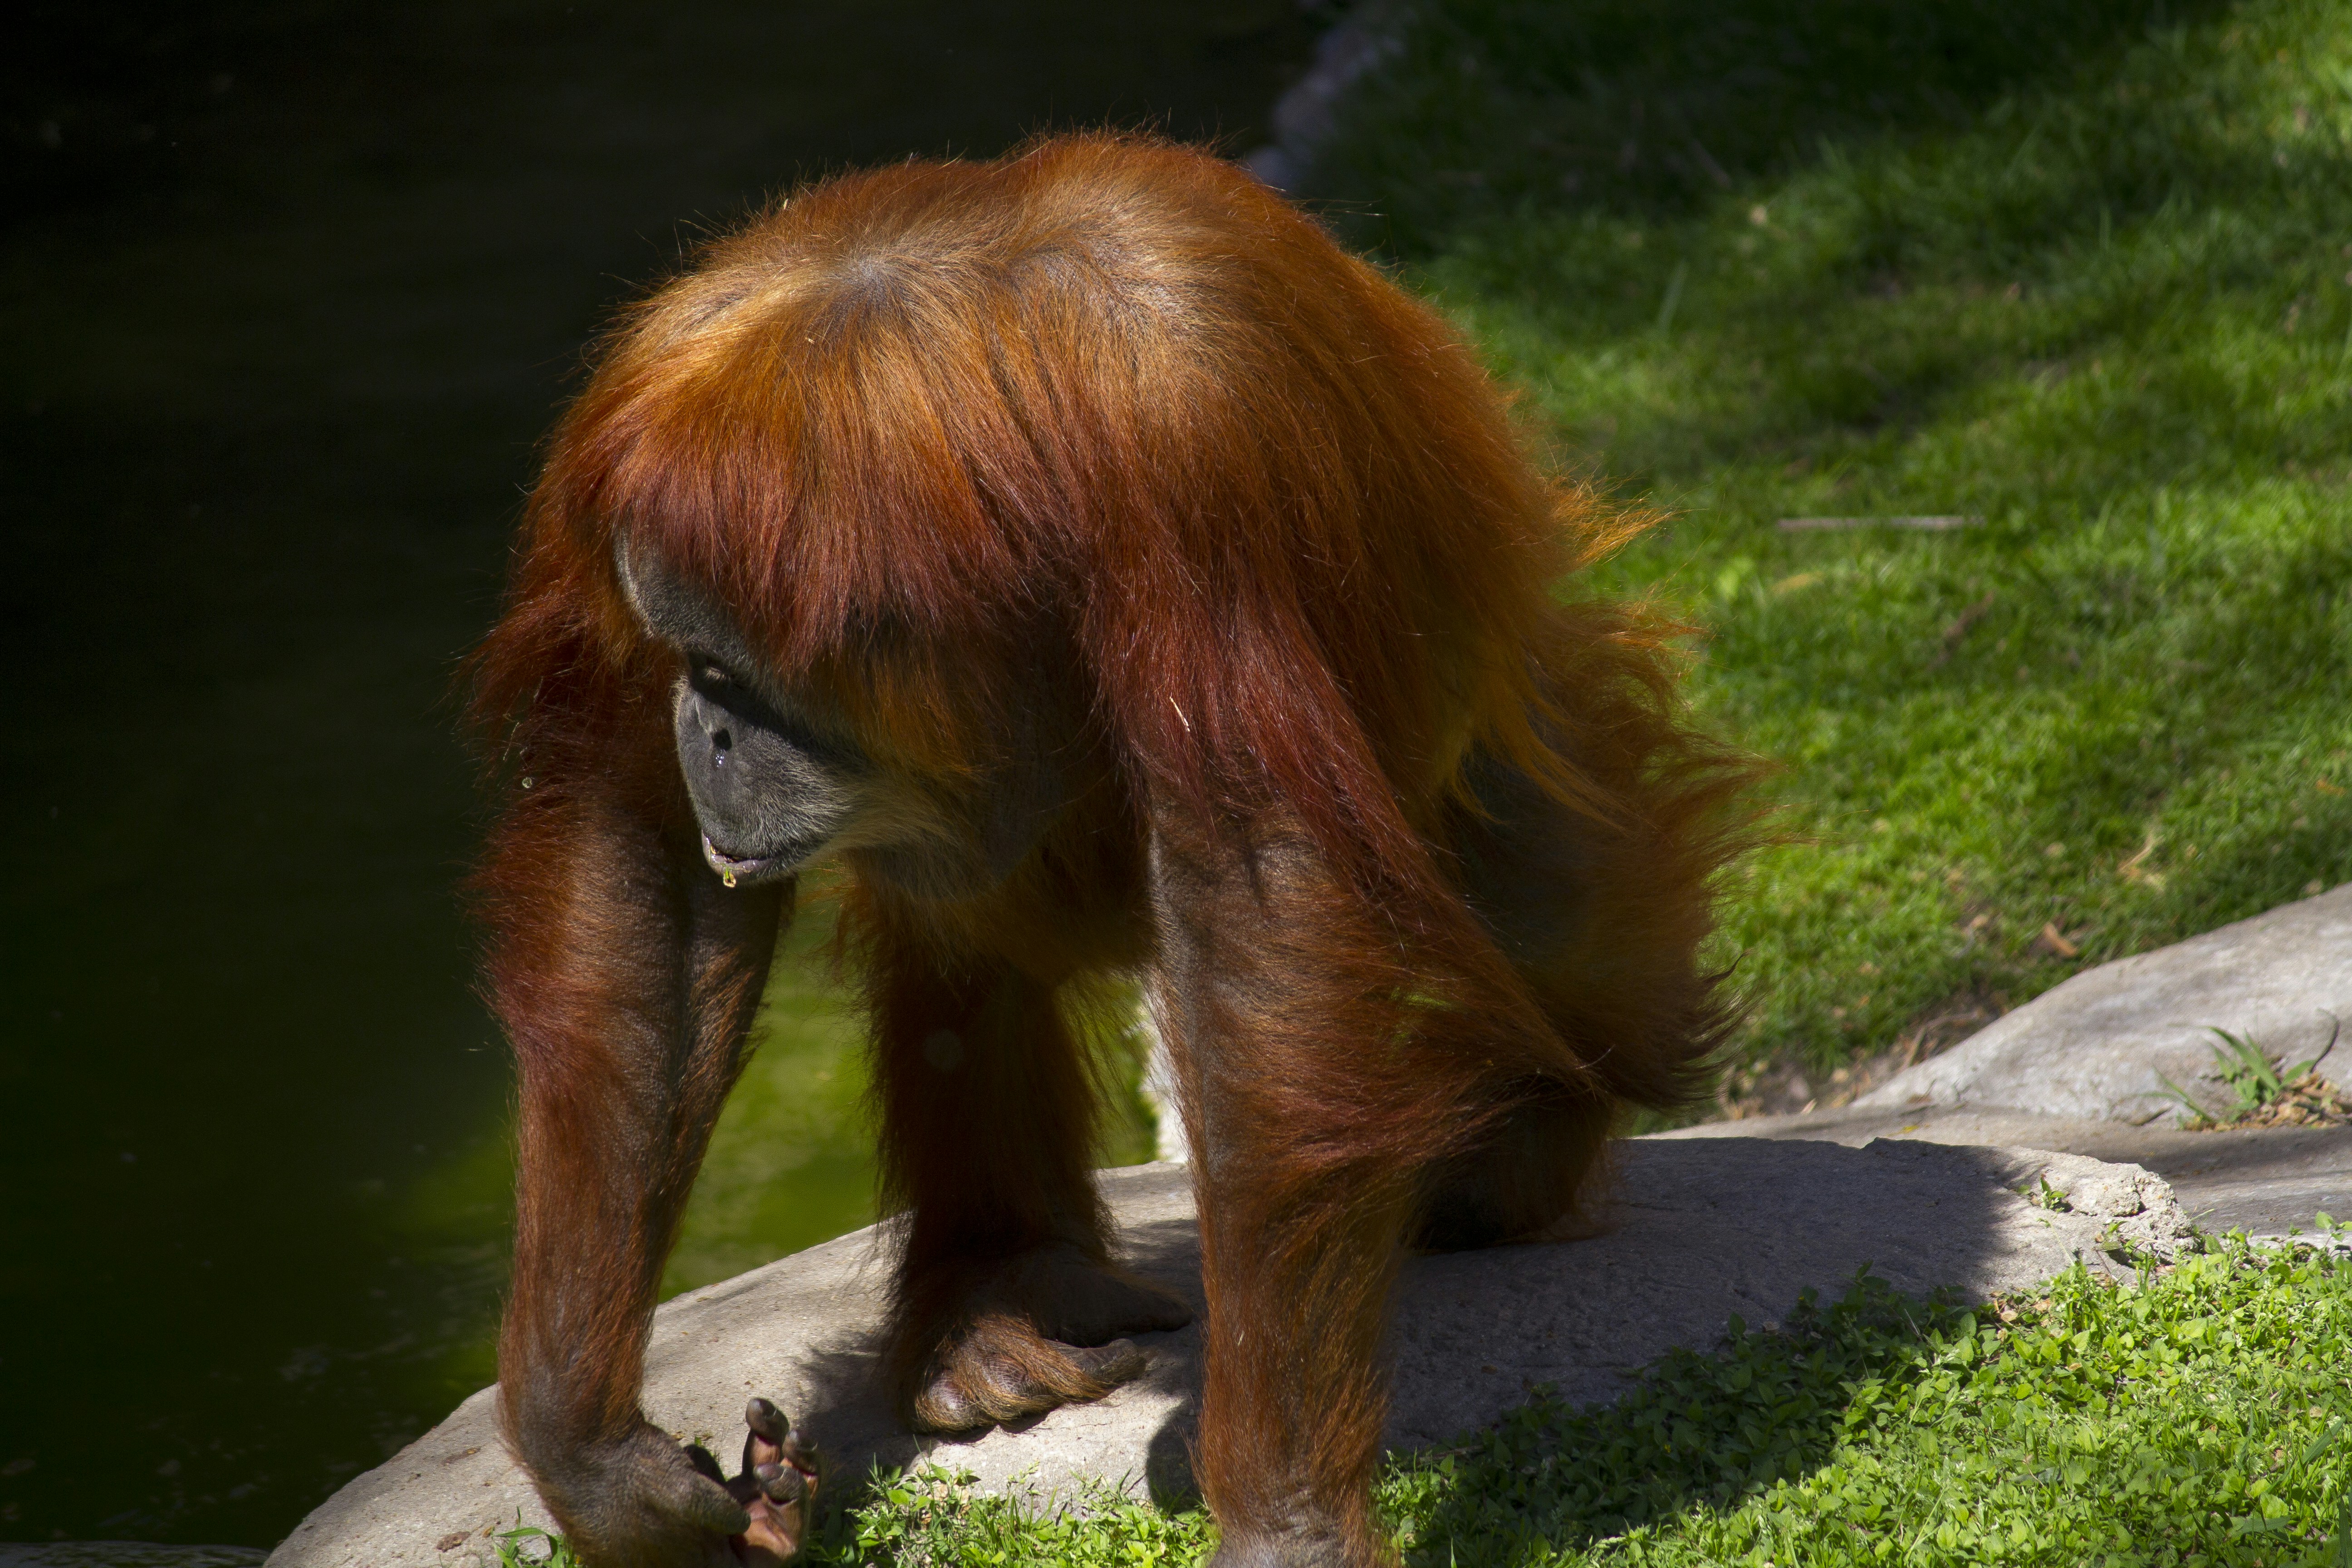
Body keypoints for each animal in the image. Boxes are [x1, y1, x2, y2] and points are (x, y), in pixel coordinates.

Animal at [468, 132, 1756, 1568]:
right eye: (682, 660)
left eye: (730, 676)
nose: (704, 731)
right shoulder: (623, 426)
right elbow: (651, 871)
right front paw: (601, 1464)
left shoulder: (1198, 451)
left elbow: (1259, 901)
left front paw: (1286, 1526)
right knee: (958, 934)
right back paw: (997, 1300)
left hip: (1506, 741)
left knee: (1558, 915)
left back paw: (1528, 1137)